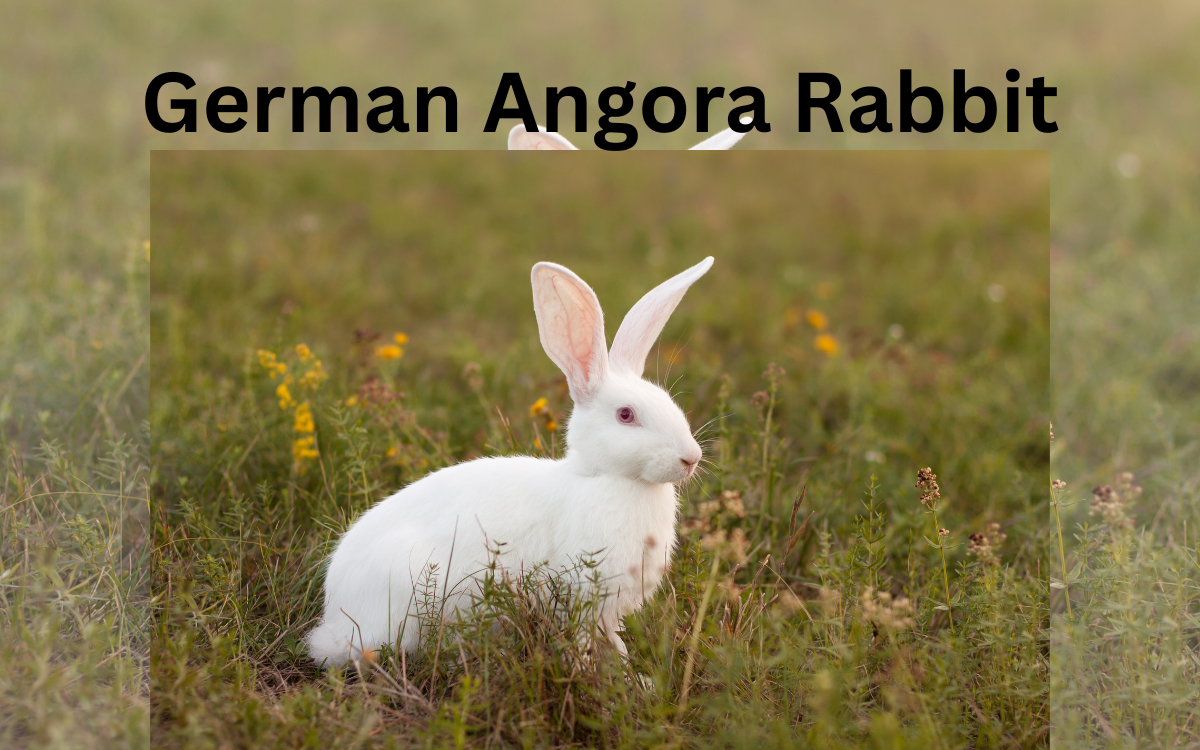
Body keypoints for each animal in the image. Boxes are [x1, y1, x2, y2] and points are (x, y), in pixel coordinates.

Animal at [306, 257, 714, 666]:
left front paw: (630, 672)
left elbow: (614, 639)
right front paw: (591, 670)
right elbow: (583, 640)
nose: (691, 458)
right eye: (626, 415)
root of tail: (335, 620)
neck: (604, 477)